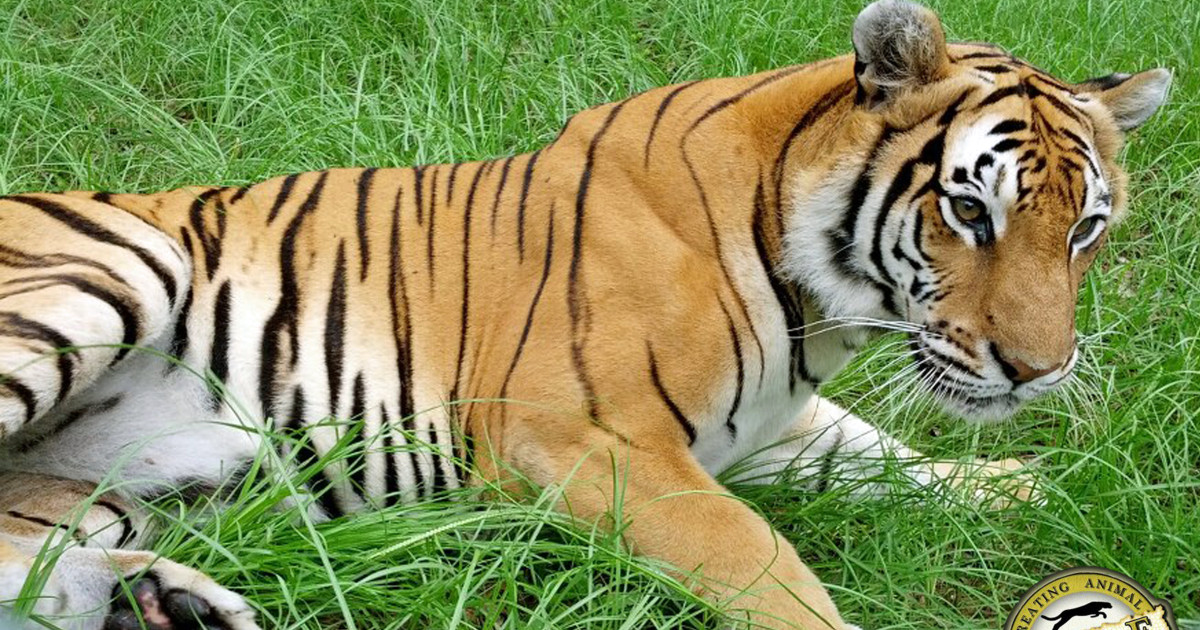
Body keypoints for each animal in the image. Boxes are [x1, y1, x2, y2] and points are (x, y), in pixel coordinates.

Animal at [0, 0, 1170, 628]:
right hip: (115, 273)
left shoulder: (763, 426)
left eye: (1084, 230)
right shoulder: (581, 436)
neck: (816, 308)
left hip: (99, 503)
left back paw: (173, 603)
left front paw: (1022, 485)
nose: (1039, 371)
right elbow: (763, 561)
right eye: (969, 210)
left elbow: (881, 452)